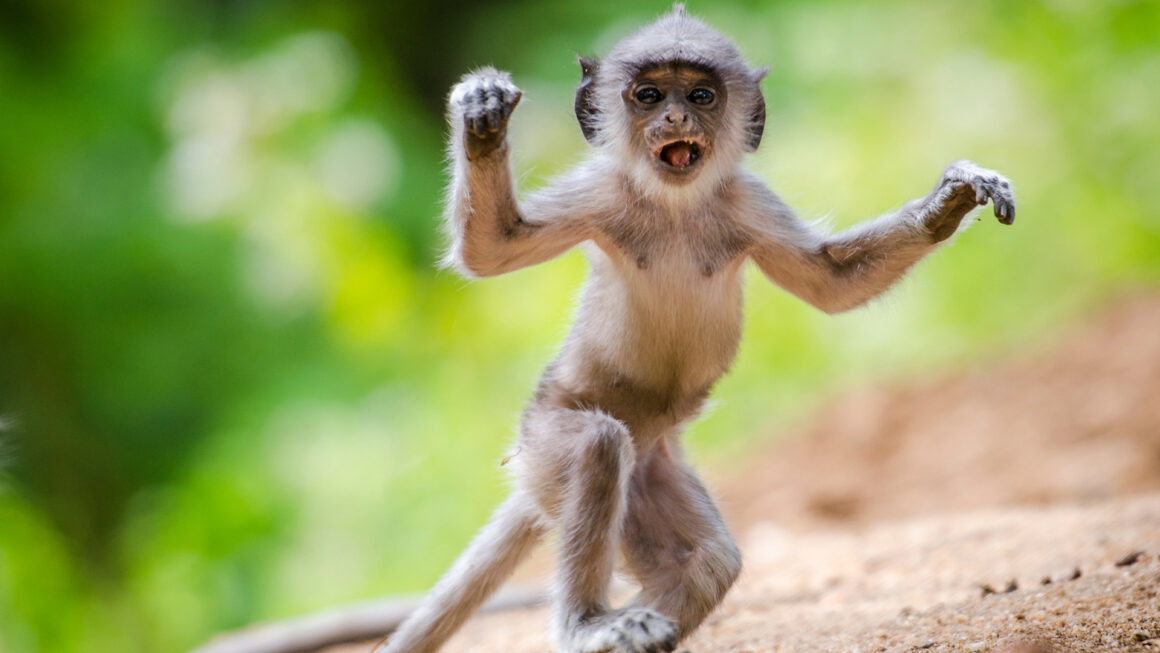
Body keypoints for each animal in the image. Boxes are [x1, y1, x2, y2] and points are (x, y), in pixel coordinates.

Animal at [375, 6, 1015, 653]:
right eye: (650, 96)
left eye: (701, 96)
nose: (677, 118)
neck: (675, 206)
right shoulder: (601, 191)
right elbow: (491, 249)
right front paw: (480, 119)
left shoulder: (749, 202)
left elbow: (833, 284)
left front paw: (947, 203)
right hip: (544, 444)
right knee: (599, 445)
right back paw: (588, 625)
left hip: (652, 467)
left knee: (708, 560)